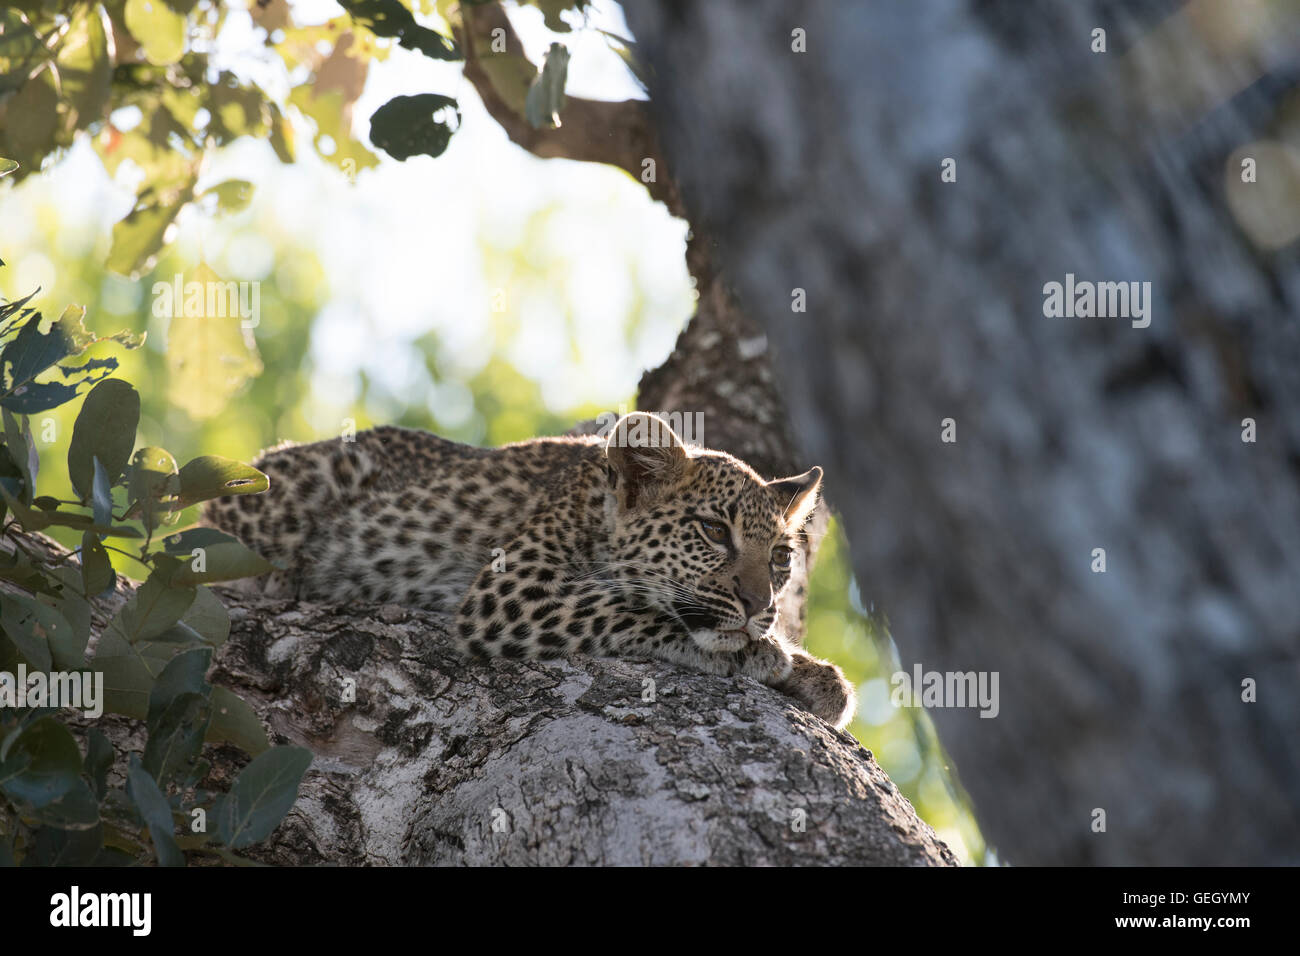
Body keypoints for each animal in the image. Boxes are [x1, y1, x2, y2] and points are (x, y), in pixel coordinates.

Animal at [203, 412, 856, 728]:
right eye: (714, 532)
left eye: (780, 559)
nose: (758, 608)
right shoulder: (510, 590)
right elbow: (625, 606)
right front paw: (763, 653)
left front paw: (818, 677)